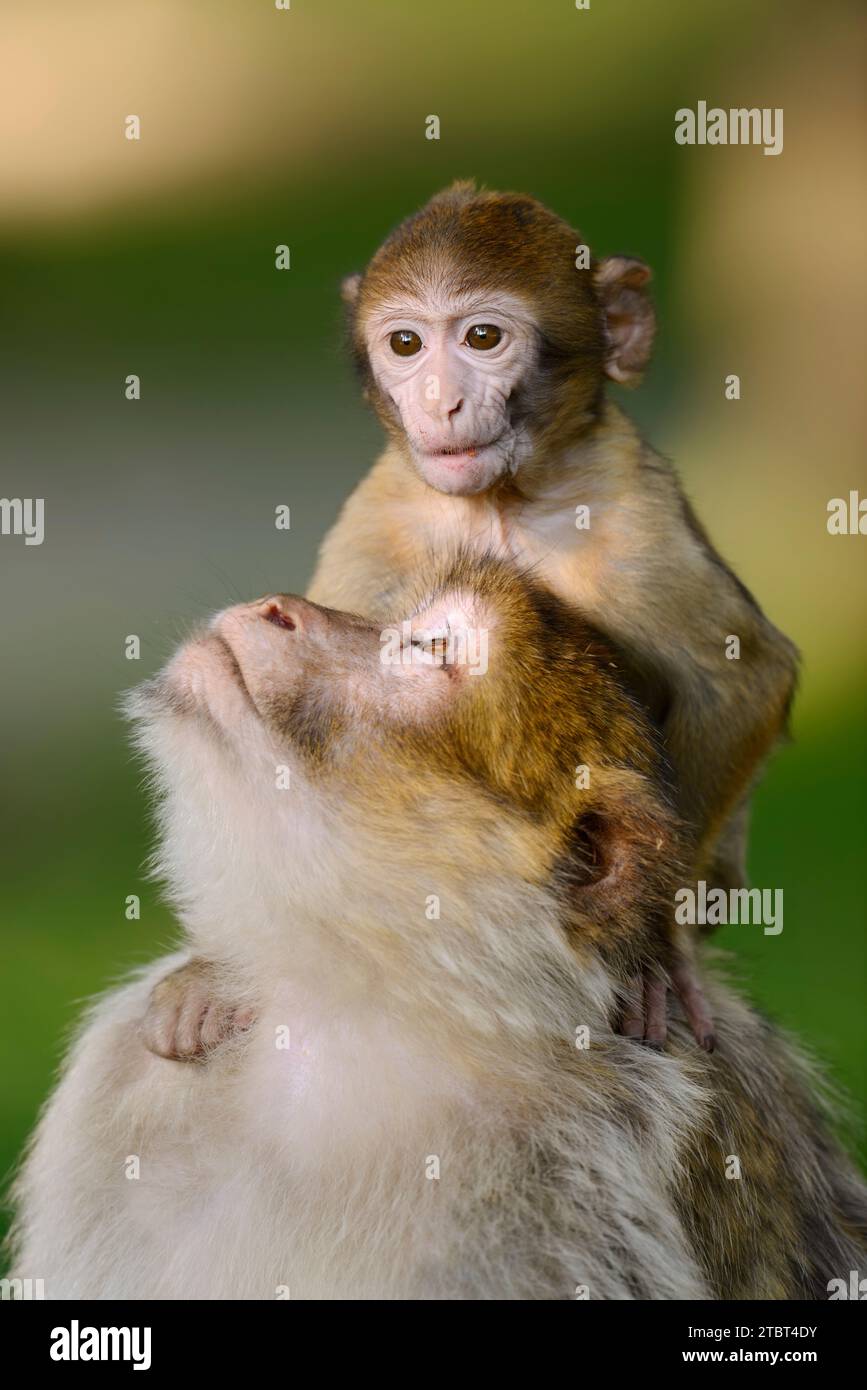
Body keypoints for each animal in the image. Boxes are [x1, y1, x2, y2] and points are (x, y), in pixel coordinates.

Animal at [141, 182, 798, 1059]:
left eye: (483, 337)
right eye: (405, 344)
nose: (438, 400)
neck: (498, 504)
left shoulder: (632, 506)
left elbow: (744, 676)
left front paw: (659, 947)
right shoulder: (380, 512)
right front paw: (213, 969)